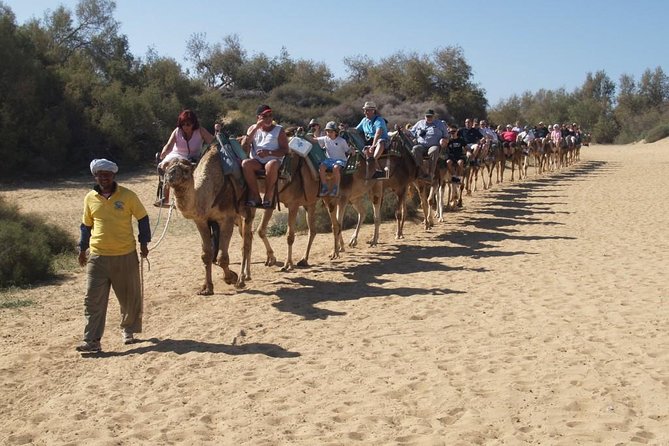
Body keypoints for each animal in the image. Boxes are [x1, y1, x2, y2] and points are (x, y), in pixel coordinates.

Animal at [163, 142, 255, 294]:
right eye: (166, 168)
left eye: (186, 170)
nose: (170, 176)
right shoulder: (201, 221)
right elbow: (206, 255)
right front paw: (207, 288)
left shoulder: (227, 218)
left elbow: (222, 257)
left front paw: (231, 277)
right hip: (238, 219)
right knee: (248, 237)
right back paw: (247, 275)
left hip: (248, 210)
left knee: (246, 242)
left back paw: (242, 279)